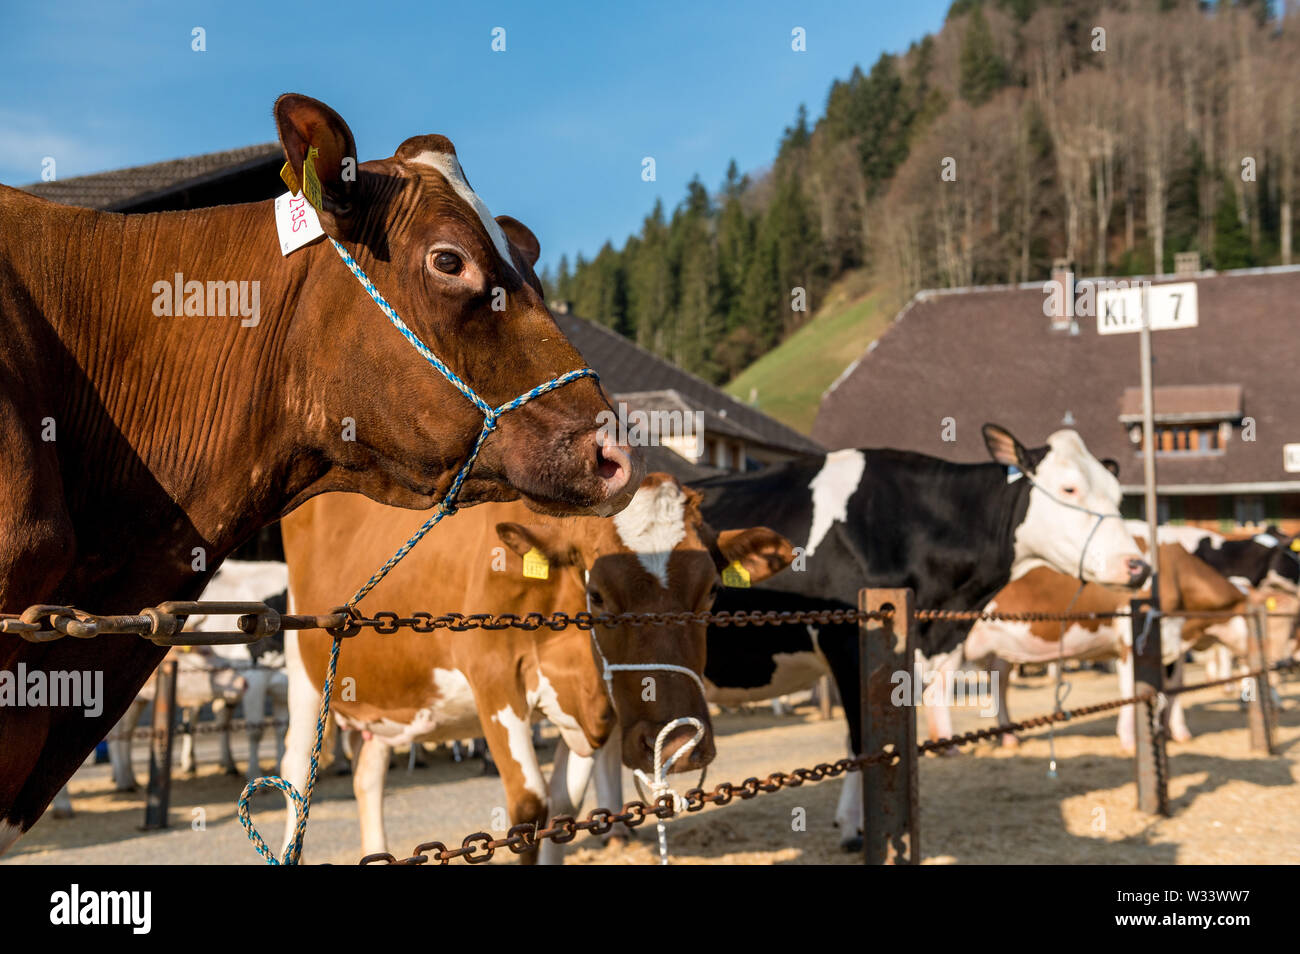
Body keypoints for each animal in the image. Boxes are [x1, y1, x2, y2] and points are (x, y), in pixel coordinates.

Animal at [280, 473, 792, 863]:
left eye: (713, 590)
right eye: (598, 595)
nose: (679, 743)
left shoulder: (591, 707)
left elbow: (564, 807)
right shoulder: (493, 677)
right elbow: (530, 807)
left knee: (369, 776)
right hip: (304, 665)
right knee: (296, 774)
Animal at [594, 426, 1149, 849]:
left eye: (1117, 495)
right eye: (1070, 489)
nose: (1138, 566)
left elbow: (863, 734)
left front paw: (852, 822)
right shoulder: (847, 640)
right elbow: (863, 737)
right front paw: (861, 832)